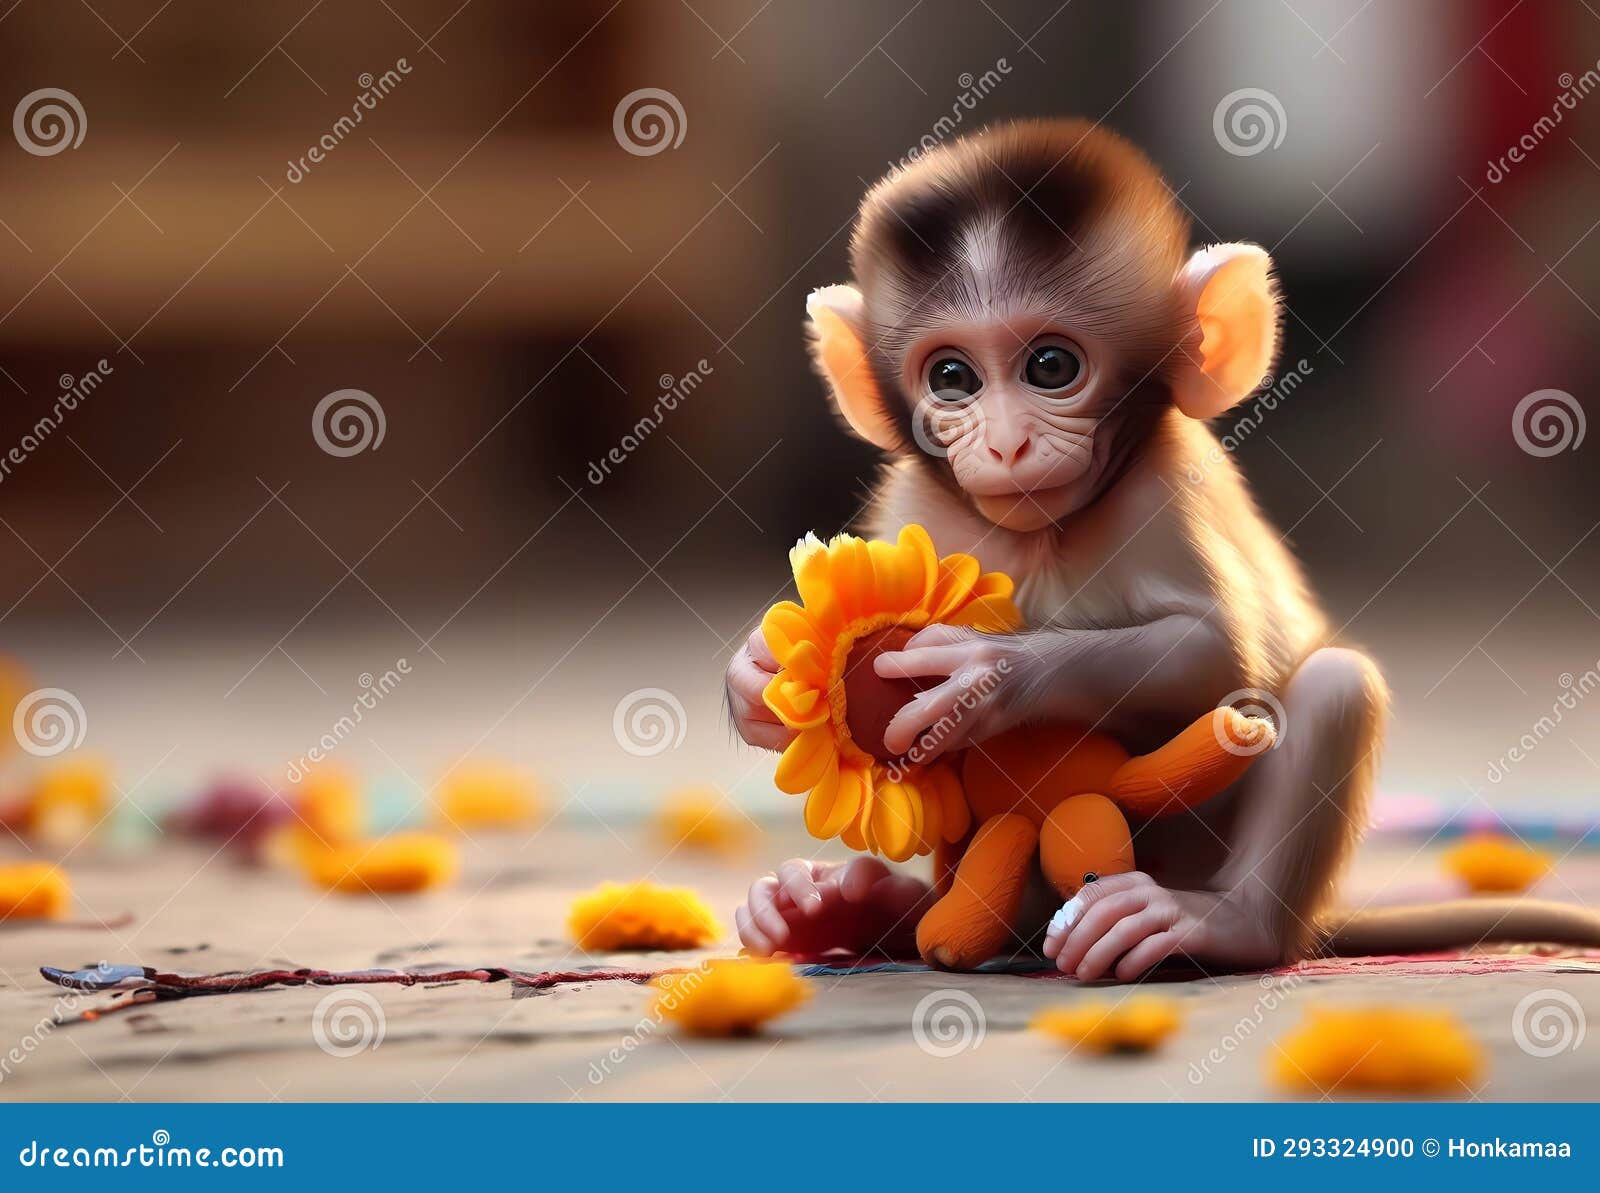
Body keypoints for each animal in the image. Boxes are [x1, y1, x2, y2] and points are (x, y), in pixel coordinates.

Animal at [726, 118, 1600, 980]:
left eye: (1051, 365)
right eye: (951, 378)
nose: (1006, 444)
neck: (1047, 532)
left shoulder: (1165, 490)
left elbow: (1220, 654)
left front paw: (988, 675)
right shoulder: (914, 507)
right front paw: (754, 681)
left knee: (1331, 685)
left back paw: (1213, 922)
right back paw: (857, 911)